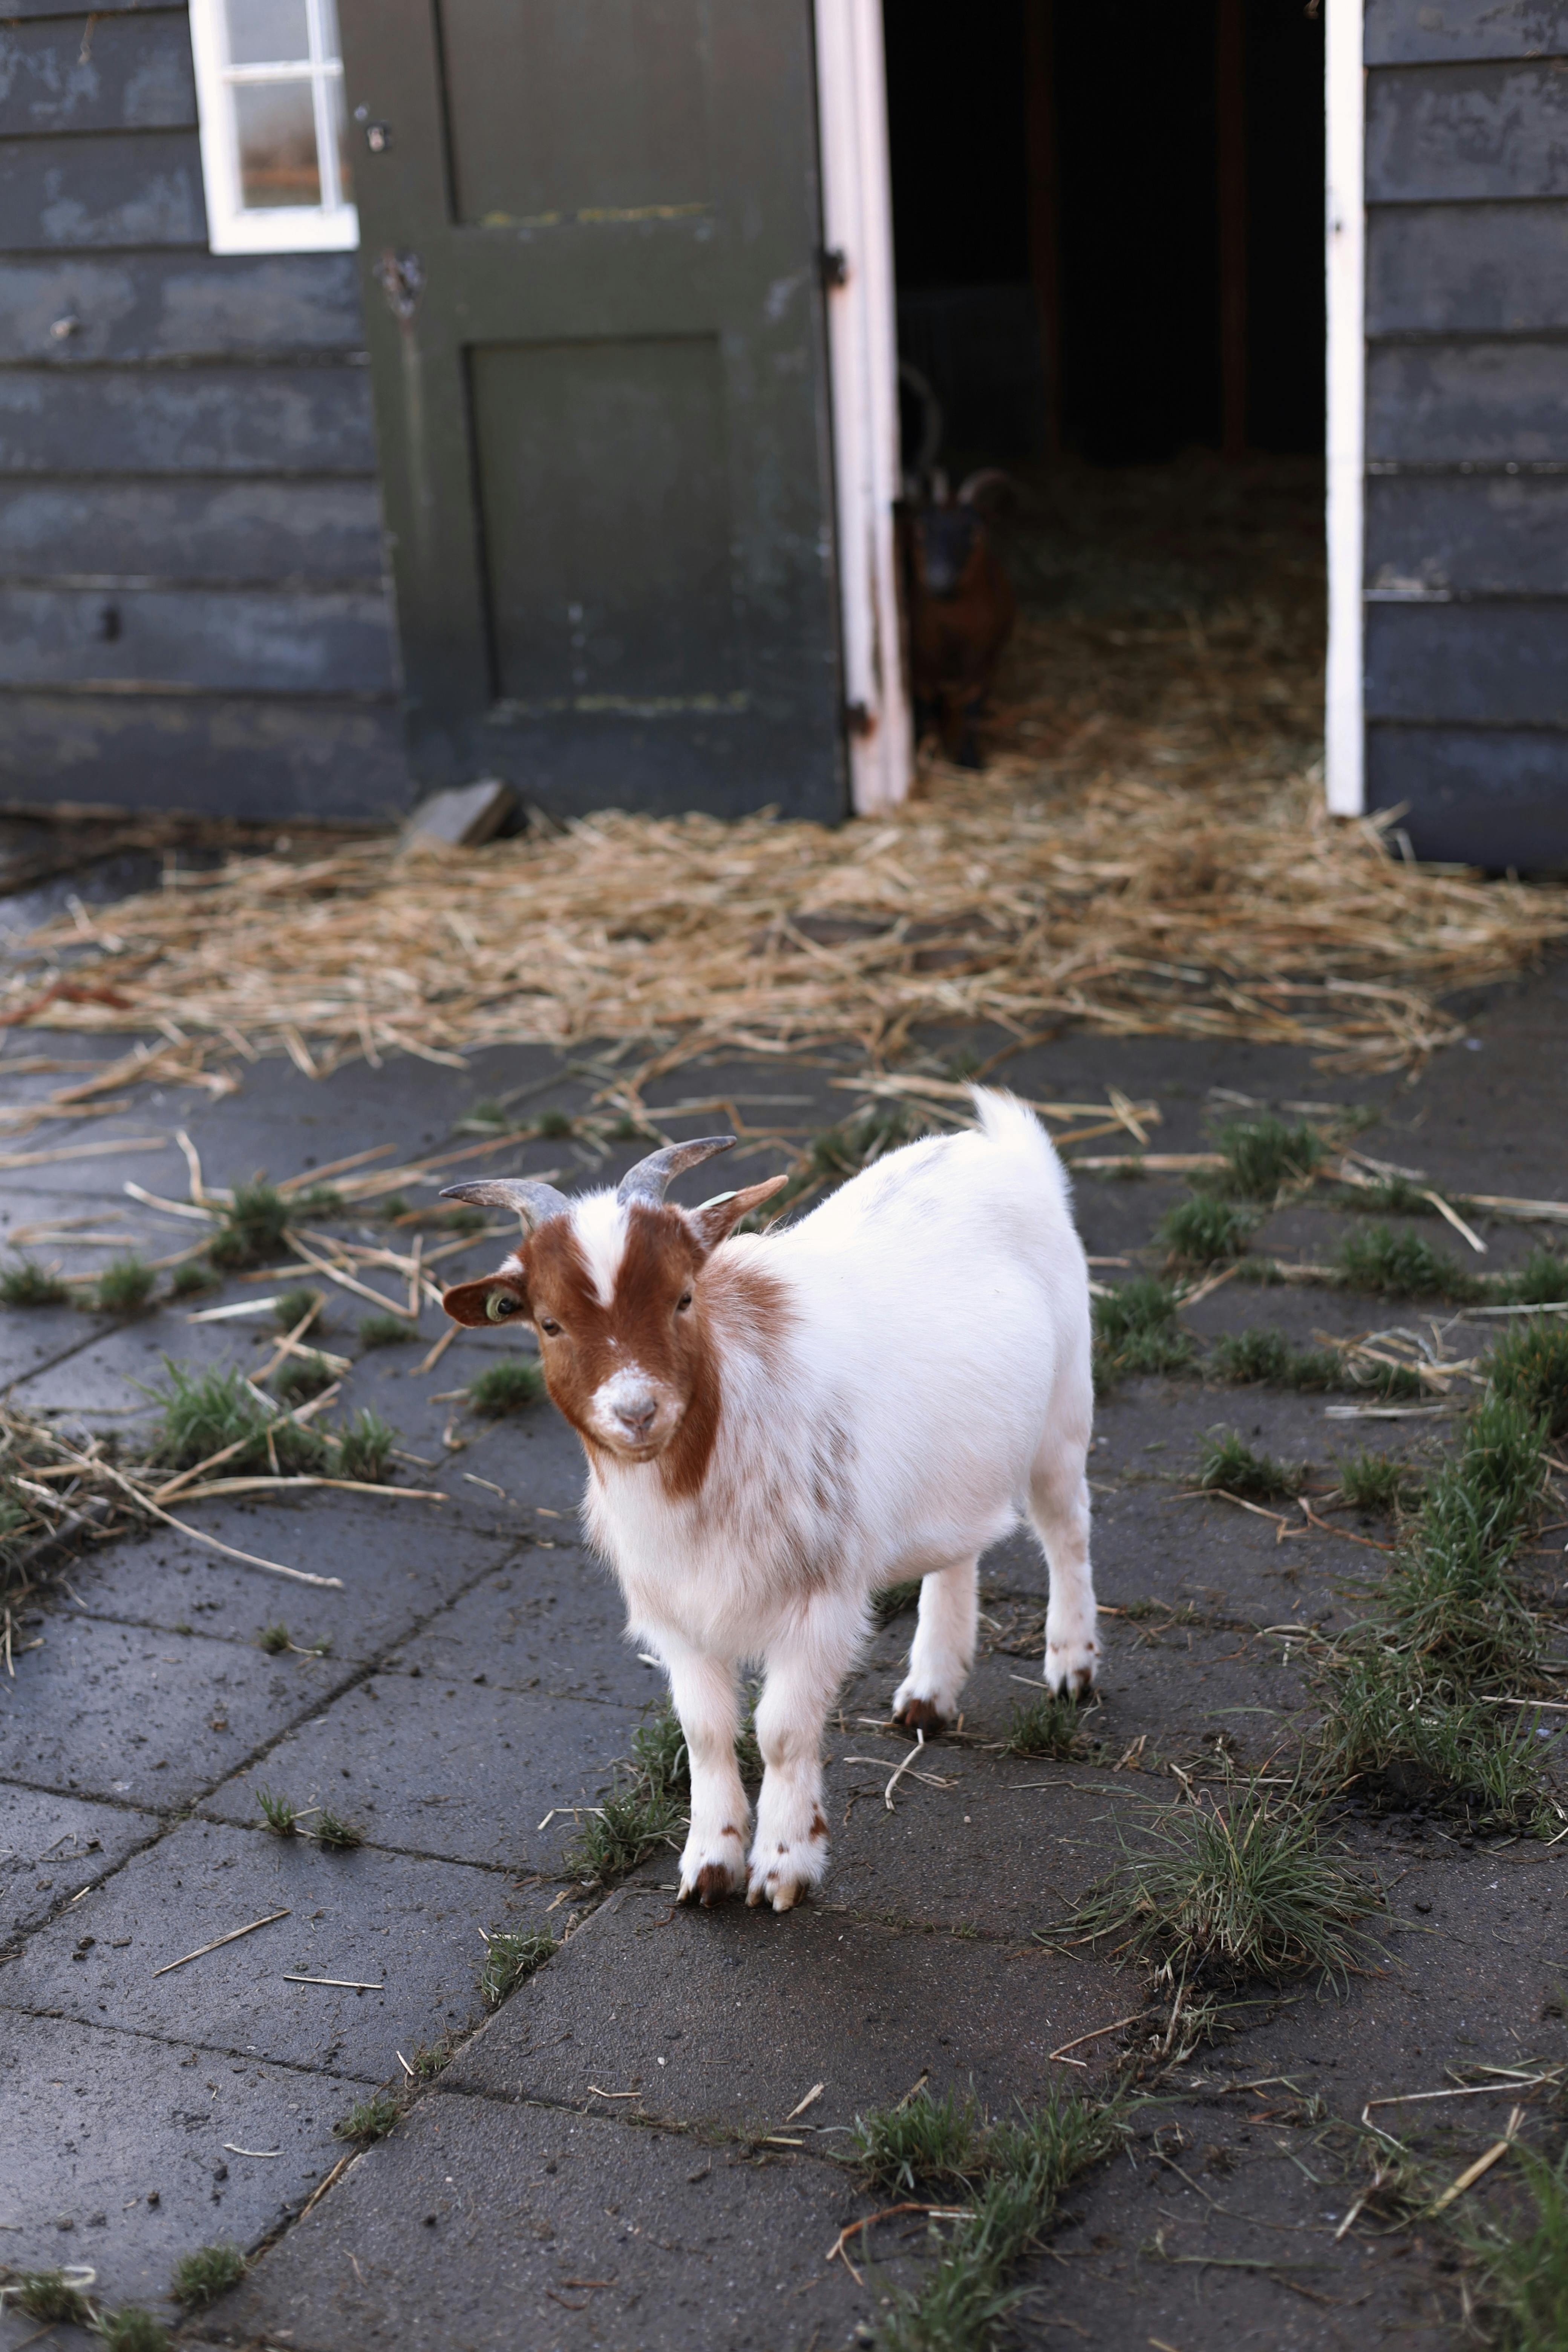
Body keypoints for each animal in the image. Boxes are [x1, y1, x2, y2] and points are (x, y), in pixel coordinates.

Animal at [440, 1092, 1096, 1914]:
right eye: (549, 1321)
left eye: (685, 1296)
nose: (636, 1411)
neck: (697, 1473)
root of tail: (1003, 1142)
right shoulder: (677, 1612)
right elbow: (705, 1729)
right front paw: (709, 1863)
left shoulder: (821, 1598)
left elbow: (781, 1730)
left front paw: (784, 1864)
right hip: (963, 1460)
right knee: (959, 1549)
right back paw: (931, 1687)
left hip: (1063, 1411)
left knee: (1067, 1528)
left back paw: (1072, 1663)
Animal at [900, 468, 1016, 770]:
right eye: (922, 527)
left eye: (973, 530)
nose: (939, 578)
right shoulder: (921, 668)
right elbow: (925, 709)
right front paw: (927, 755)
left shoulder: (985, 665)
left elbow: (972, 712)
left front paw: (970, 761)